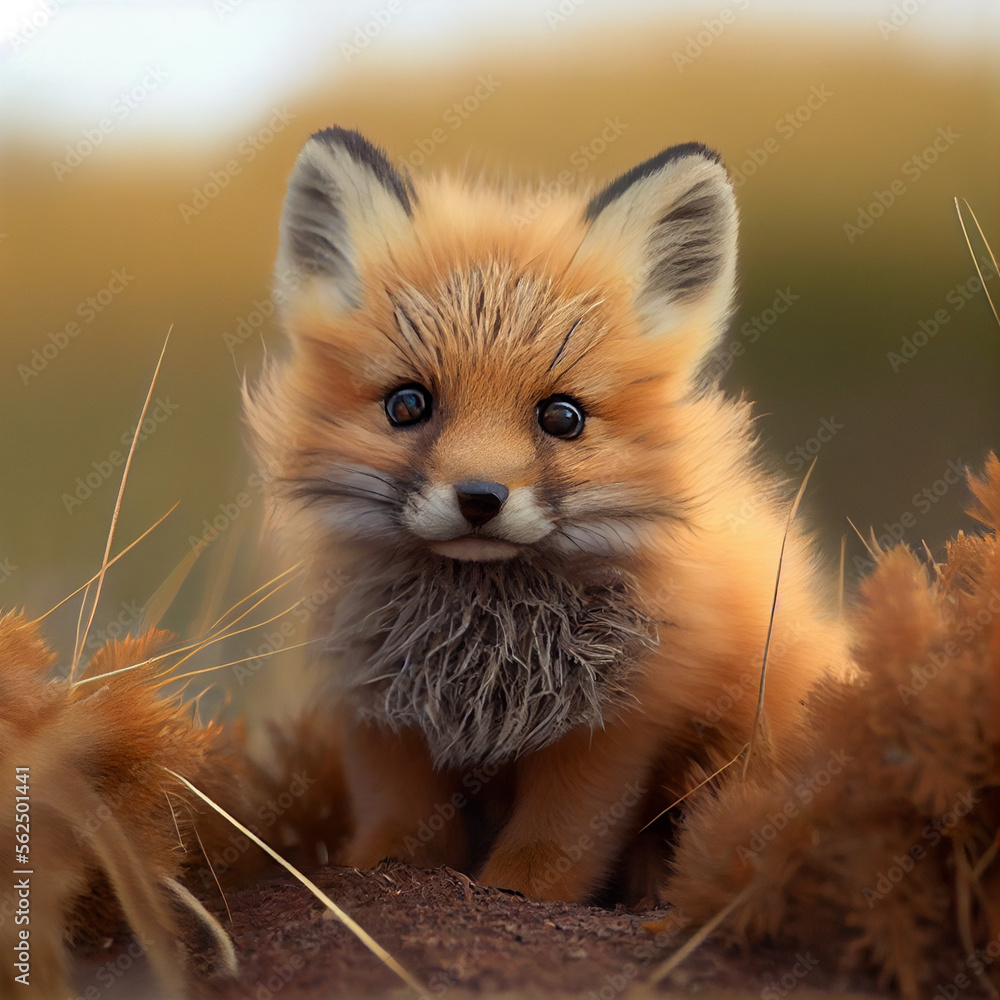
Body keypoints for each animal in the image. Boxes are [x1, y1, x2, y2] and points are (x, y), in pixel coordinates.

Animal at [246, 126, 849, 903]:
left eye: (562, 416)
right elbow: (397, 826)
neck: (481, 641)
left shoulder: (615, 722)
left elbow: (555, 841)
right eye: (407, 404)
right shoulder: (381, 707)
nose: (479, 498)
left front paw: (520, 889)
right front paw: (364, 875)